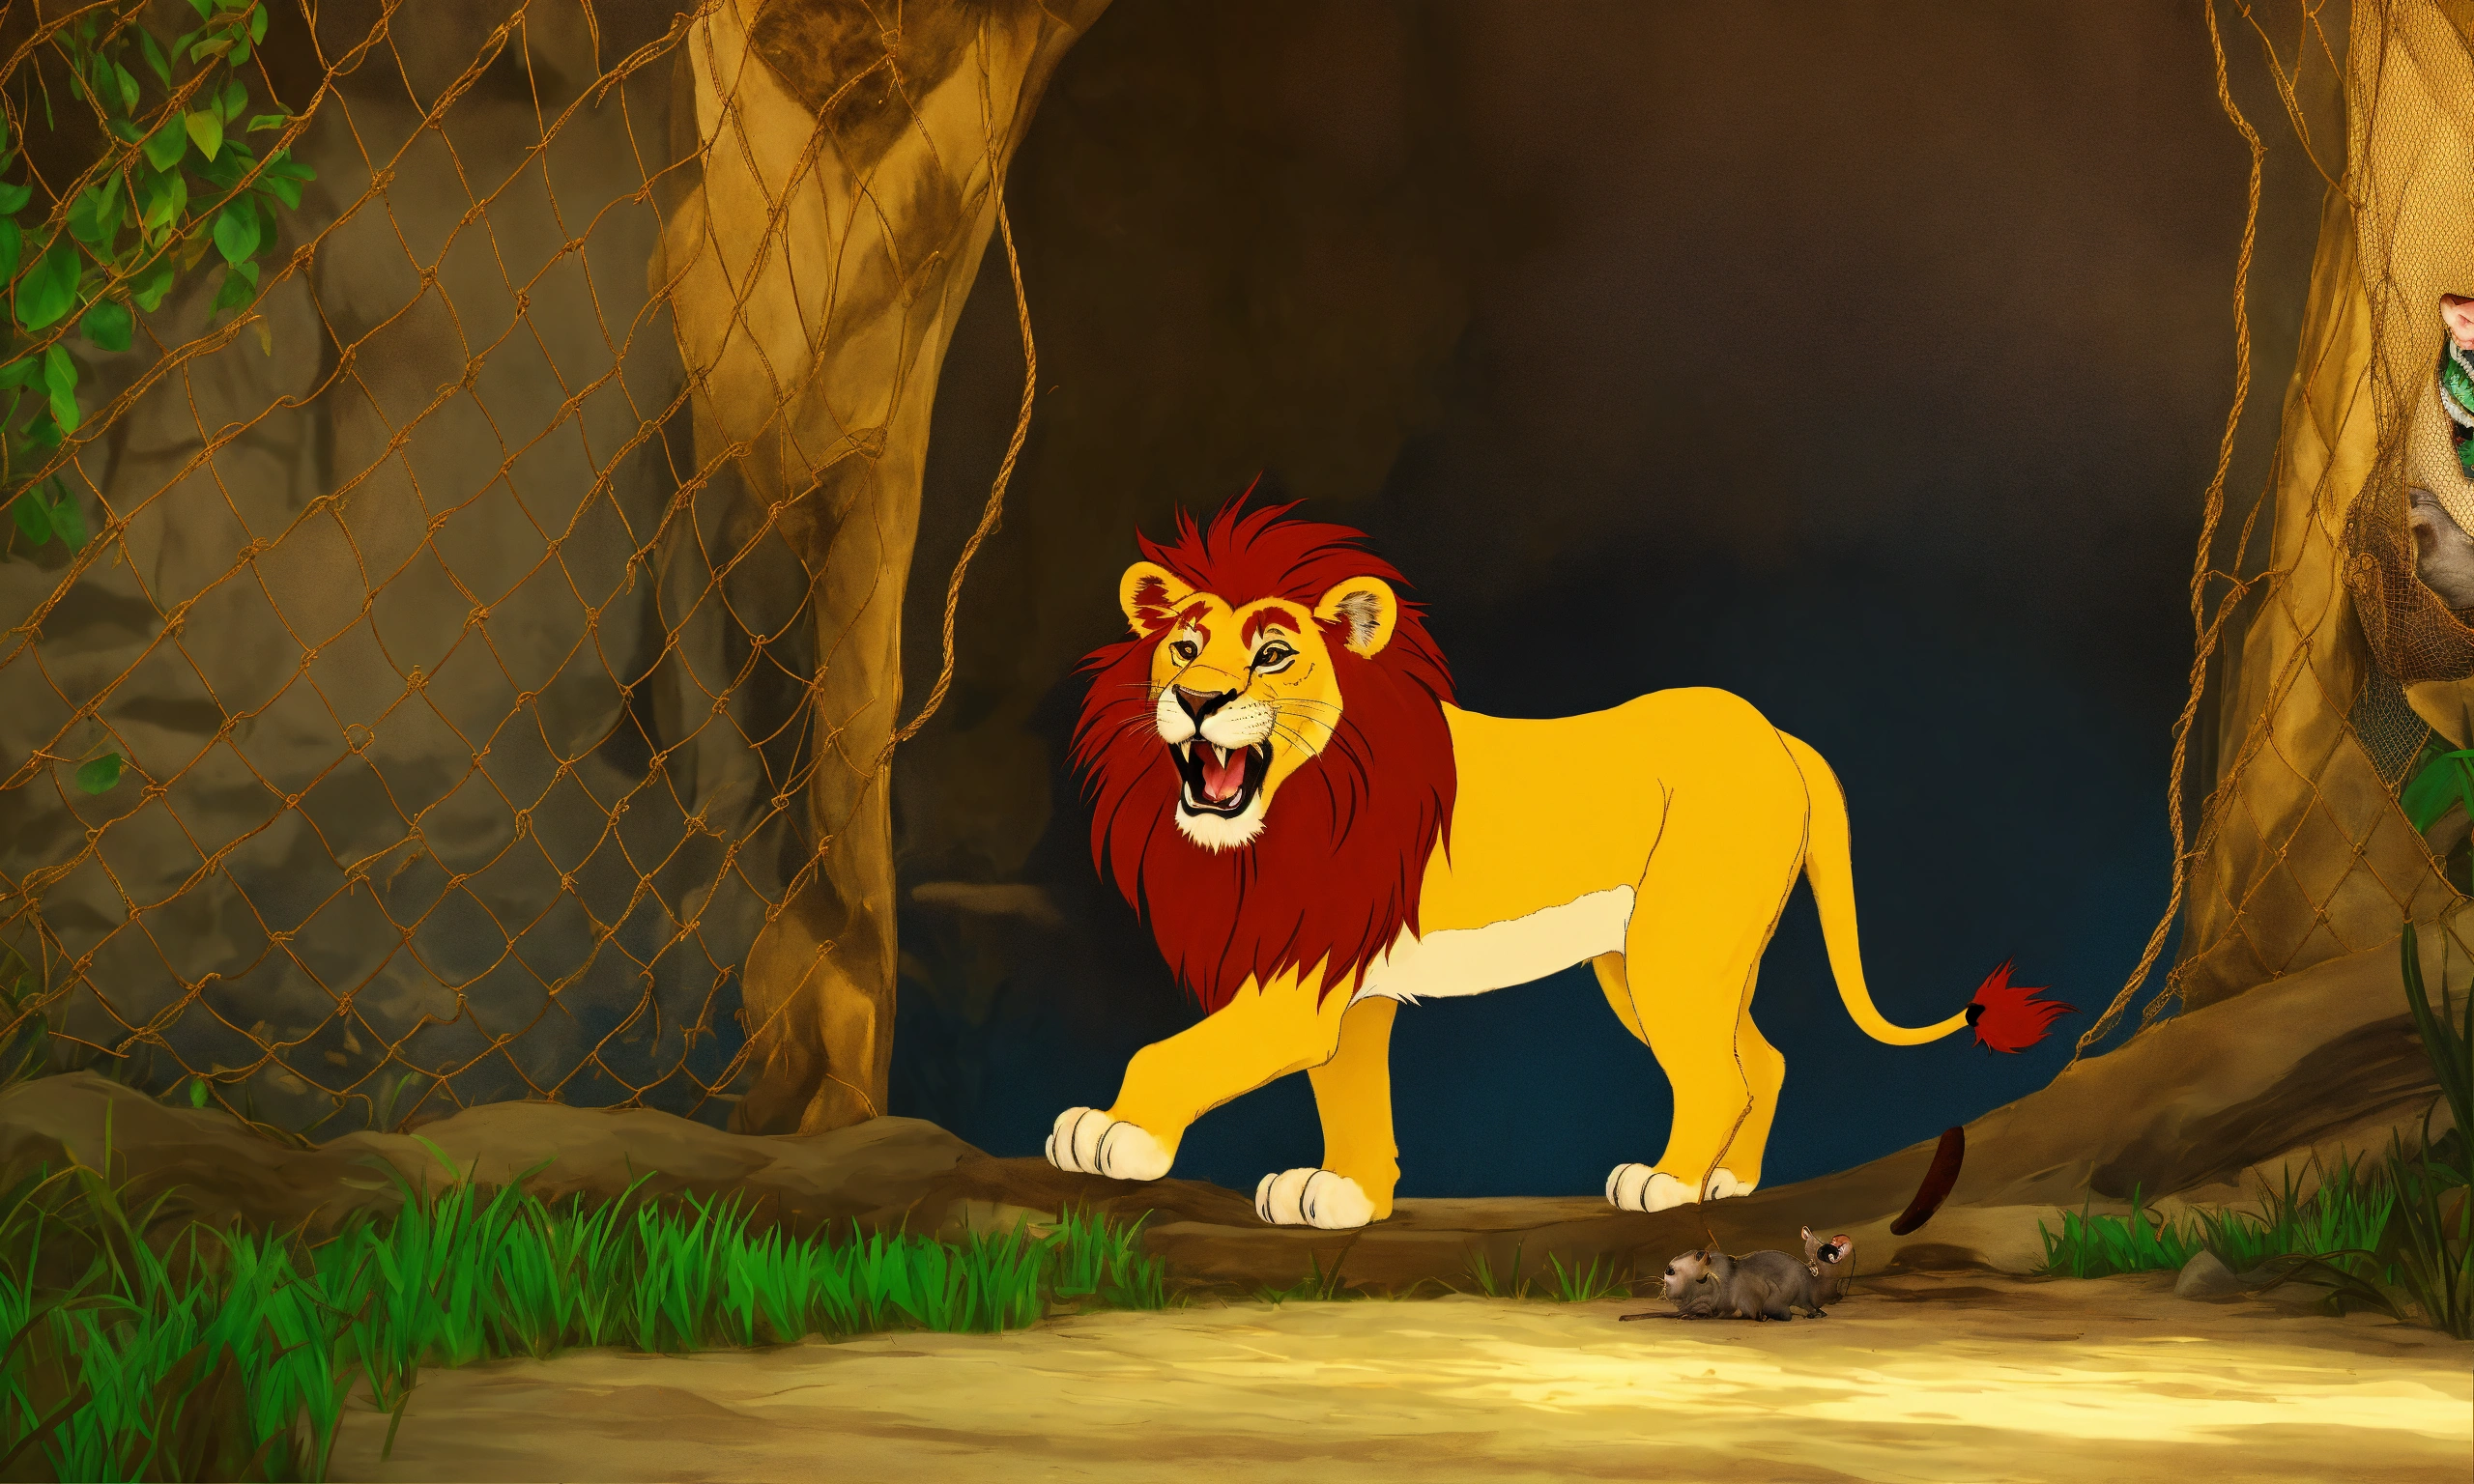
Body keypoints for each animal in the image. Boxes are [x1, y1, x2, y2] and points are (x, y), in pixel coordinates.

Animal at [1045, 496, 2069, 1229]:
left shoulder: (1295, 986)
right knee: (1765, 1061)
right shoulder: (1340, 973)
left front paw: (1112, 1131)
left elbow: (1169, 1053)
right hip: (1663, 961)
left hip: (1676, 947)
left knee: (1723, 1075)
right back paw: (1728, 1183)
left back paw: (1665, 1185)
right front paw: (1343, 1195)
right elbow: (1351, 1095)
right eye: (1183, 646)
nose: (1197, 700)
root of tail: (1776, 733)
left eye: (1270, 655)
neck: (1289, 809)